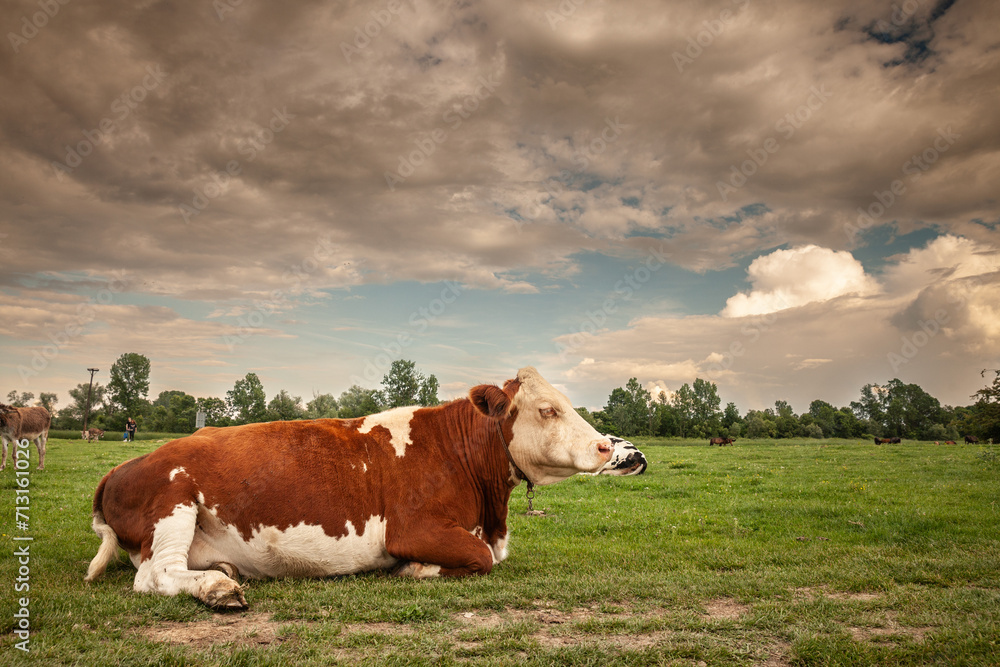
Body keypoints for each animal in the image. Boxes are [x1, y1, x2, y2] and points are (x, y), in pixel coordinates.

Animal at [84, 367, 614, 609]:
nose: (607, 446)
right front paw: (414, 569)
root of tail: (123, 465)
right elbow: (480, 558)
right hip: (173, 502)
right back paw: (218, 588)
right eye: (547, 409)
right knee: (155, 576)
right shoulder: (414, 528)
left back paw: (222, 571)